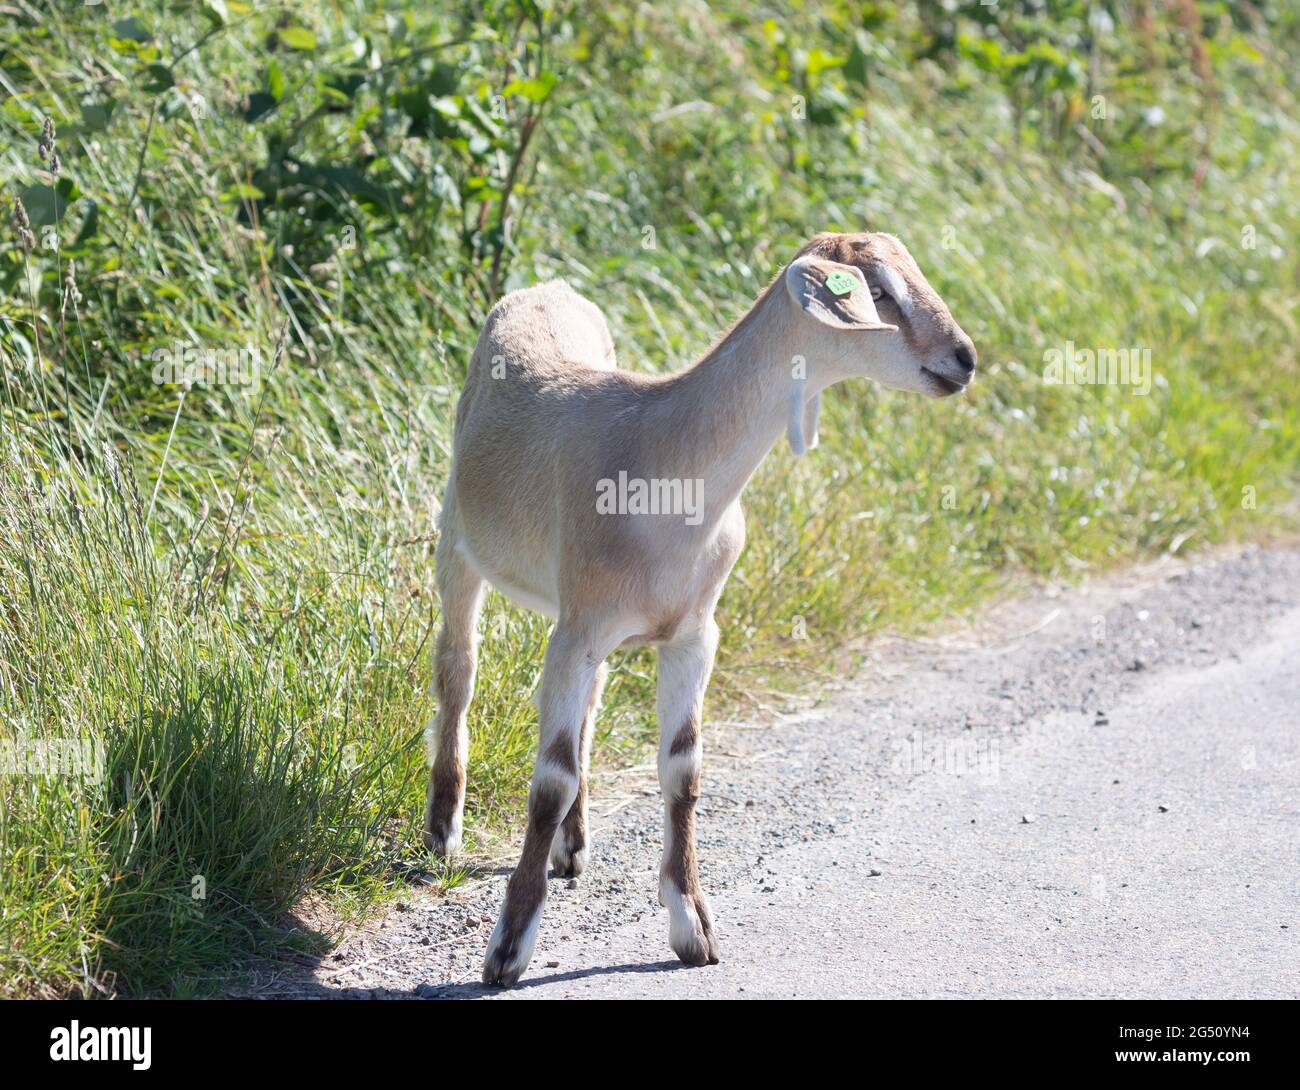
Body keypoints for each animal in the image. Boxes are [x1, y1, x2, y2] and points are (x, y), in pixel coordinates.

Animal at [424, 231, 977, 986]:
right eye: (879, 292)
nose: (964, 358)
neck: (667, 475)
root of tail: (547, 288)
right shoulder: (576, 631)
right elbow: (550, 780)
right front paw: (509, 948)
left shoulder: (691, 634)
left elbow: (683, 769)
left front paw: (693, 928)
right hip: (458, 538)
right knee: (458, 667)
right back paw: (442, 829)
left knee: (590, 706)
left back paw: (575, 846)